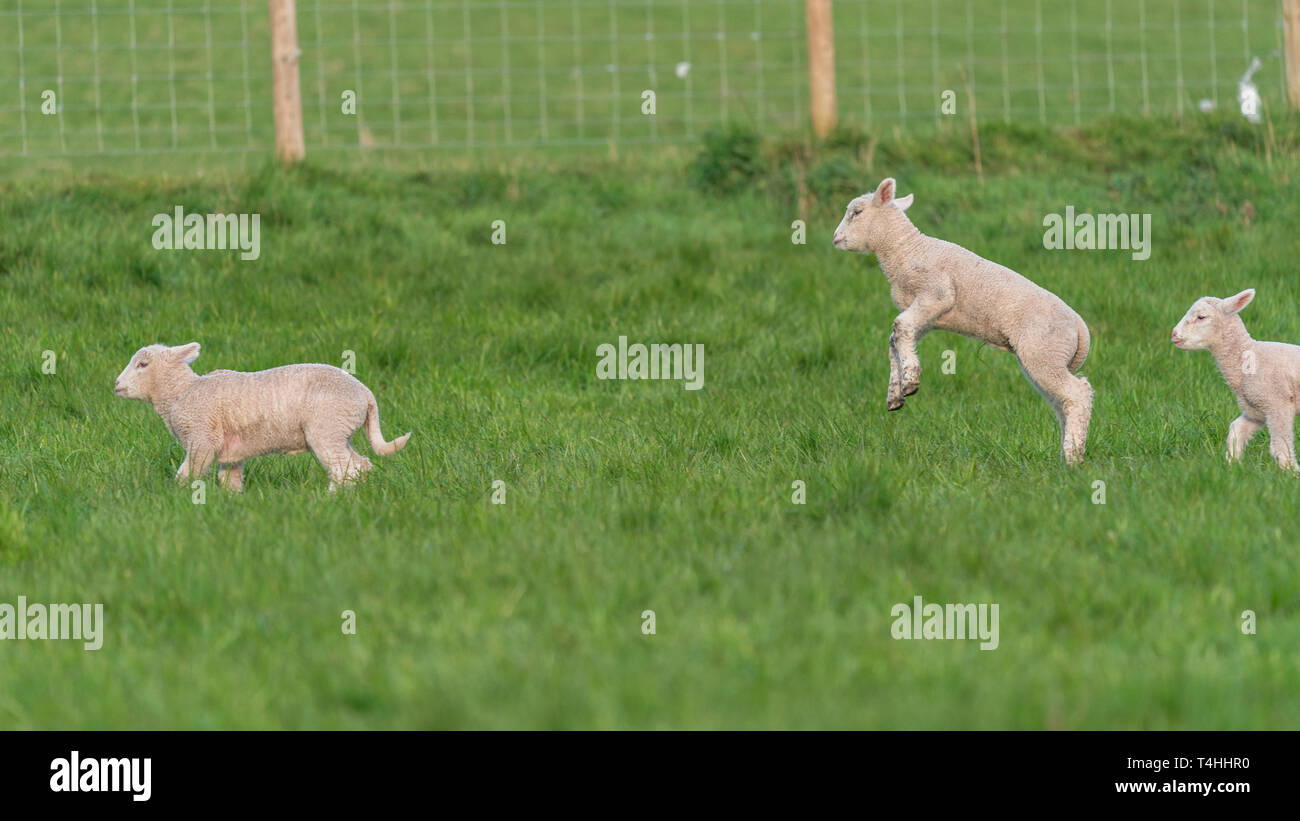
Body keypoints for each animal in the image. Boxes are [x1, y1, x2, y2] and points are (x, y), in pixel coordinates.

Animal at [114, 343, 411, 491]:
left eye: (143, 364)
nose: (116, 385)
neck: (181, 392)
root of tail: (364, 392)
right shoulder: (231, 452)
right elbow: (229, 481)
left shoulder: (202, 438)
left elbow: (189, 474)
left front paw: (180, 496)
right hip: (338, 430)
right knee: (361, 465)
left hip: (326, 429)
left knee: (344, 470)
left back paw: (330, 500)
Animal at [832, 178, 1093, 465]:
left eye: (856, 212)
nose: (835, 238)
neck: (905, 250)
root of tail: (1080, 326)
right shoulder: (928, 315)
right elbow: (897, 337)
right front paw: (896, 392)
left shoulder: (936, 294)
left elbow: (900, 326)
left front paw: (910, 381)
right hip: (1048, 357)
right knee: (1063, 404)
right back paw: (1068, 454)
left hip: (1044, 352)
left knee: (1078, 394)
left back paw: (1072, 457)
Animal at [1171, 289, 1300, 471]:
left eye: (1201, 317)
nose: (1174, 334)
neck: (1247, 357)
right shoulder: (1256, 410)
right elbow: (1236, 432)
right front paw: (1232, 465)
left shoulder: (1277, 404)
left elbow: (1281, 448)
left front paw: (1291, 473)